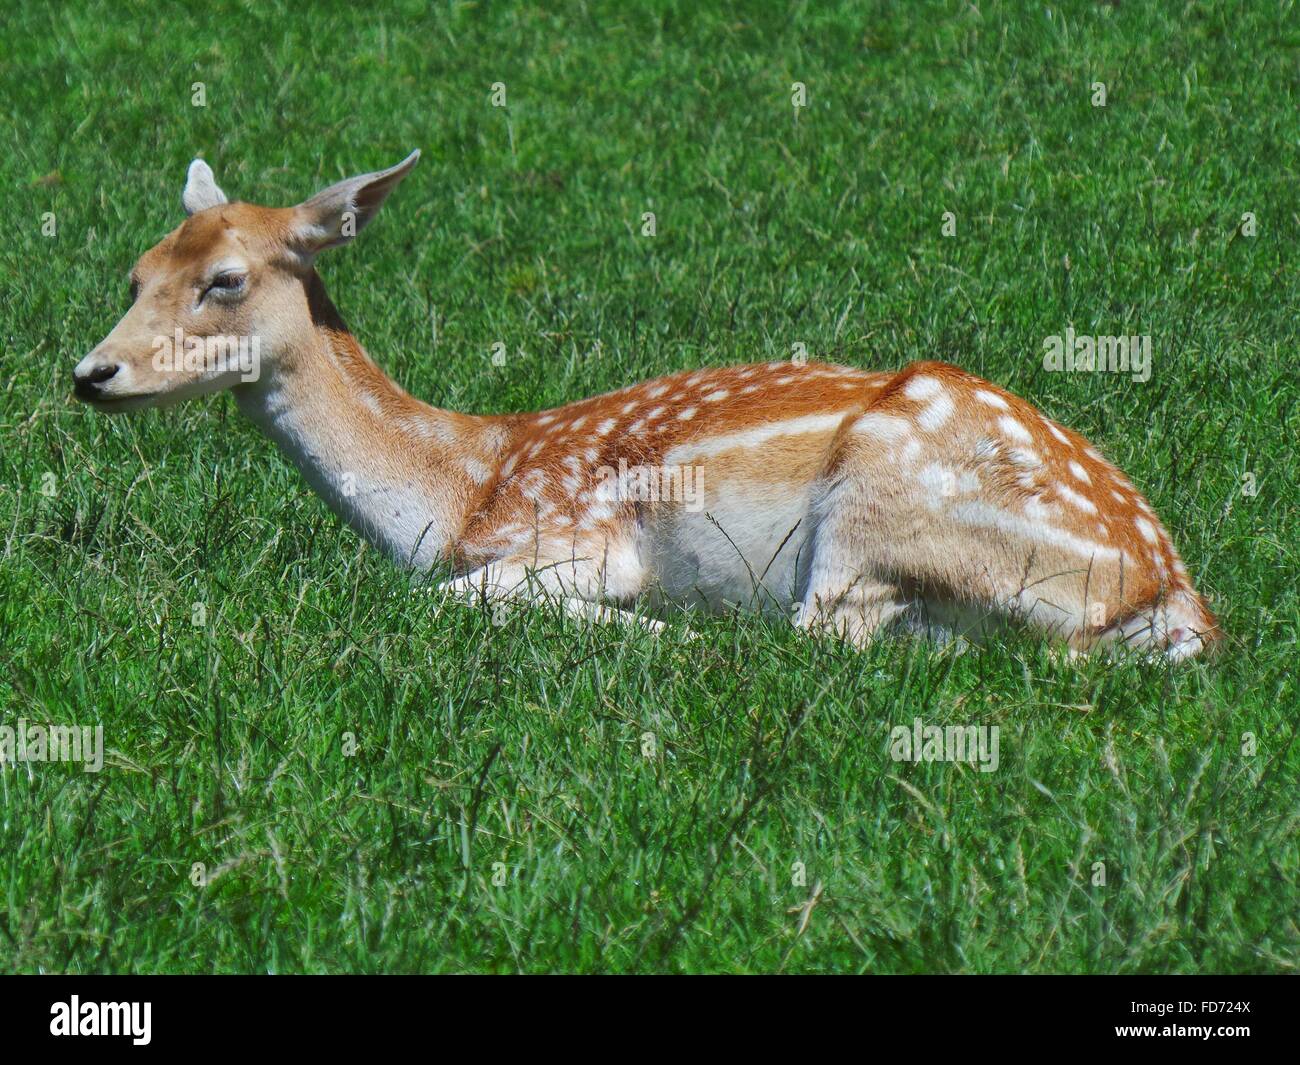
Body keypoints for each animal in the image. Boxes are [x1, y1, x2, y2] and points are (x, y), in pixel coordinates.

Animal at [72, 152, 1220, 661]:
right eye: (135, 272)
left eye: (223, 279)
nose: (93, 374)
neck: (461, 488)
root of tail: (1169, 595)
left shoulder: (571, 535)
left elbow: (444, 599)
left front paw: (639, 623)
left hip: (876, 509)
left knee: (822, 640)